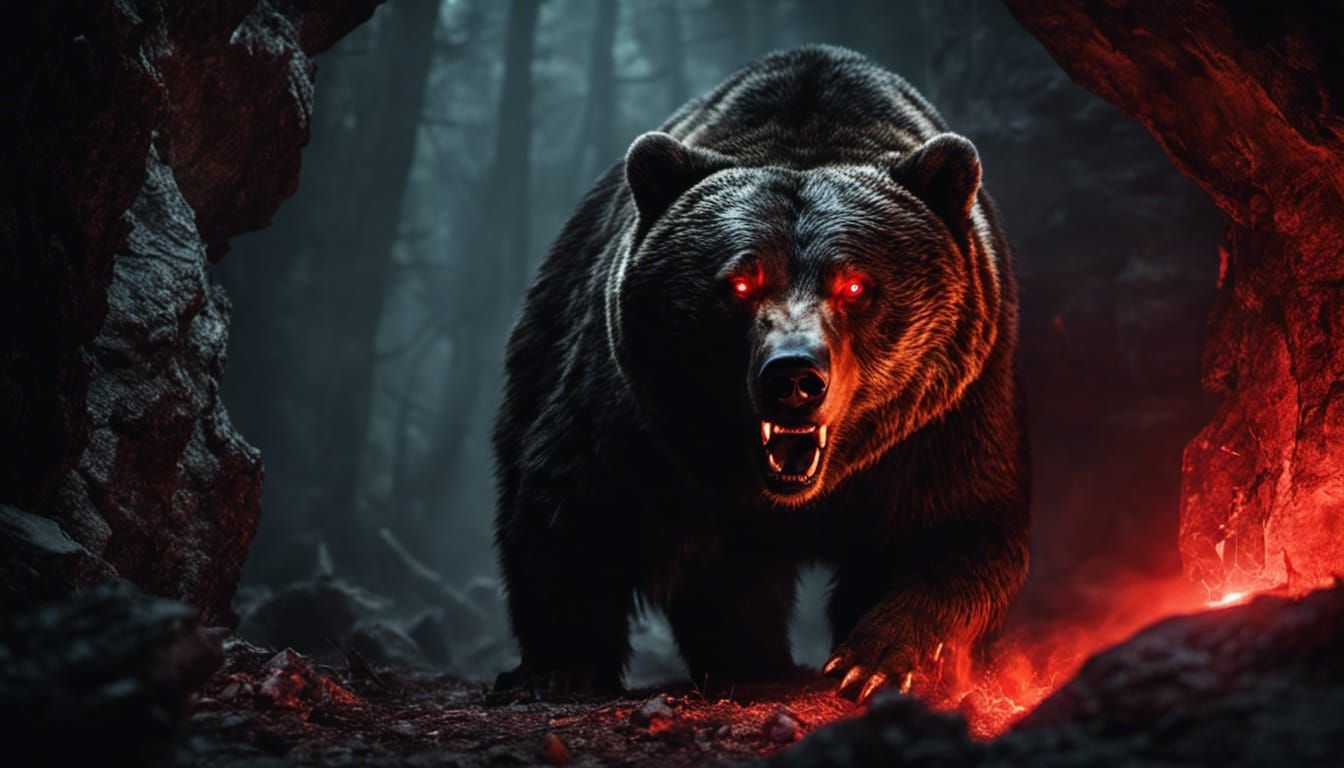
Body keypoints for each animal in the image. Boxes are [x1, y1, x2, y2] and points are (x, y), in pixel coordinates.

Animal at [492, 45, 1029, 702]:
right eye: (741, 282)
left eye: (855, 284)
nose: (793, 376)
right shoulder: (639, 420)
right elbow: (572, 508)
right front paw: (556, 668)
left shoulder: (948, 415)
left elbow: (960, 528)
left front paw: (874, 659)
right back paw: (747, 660)